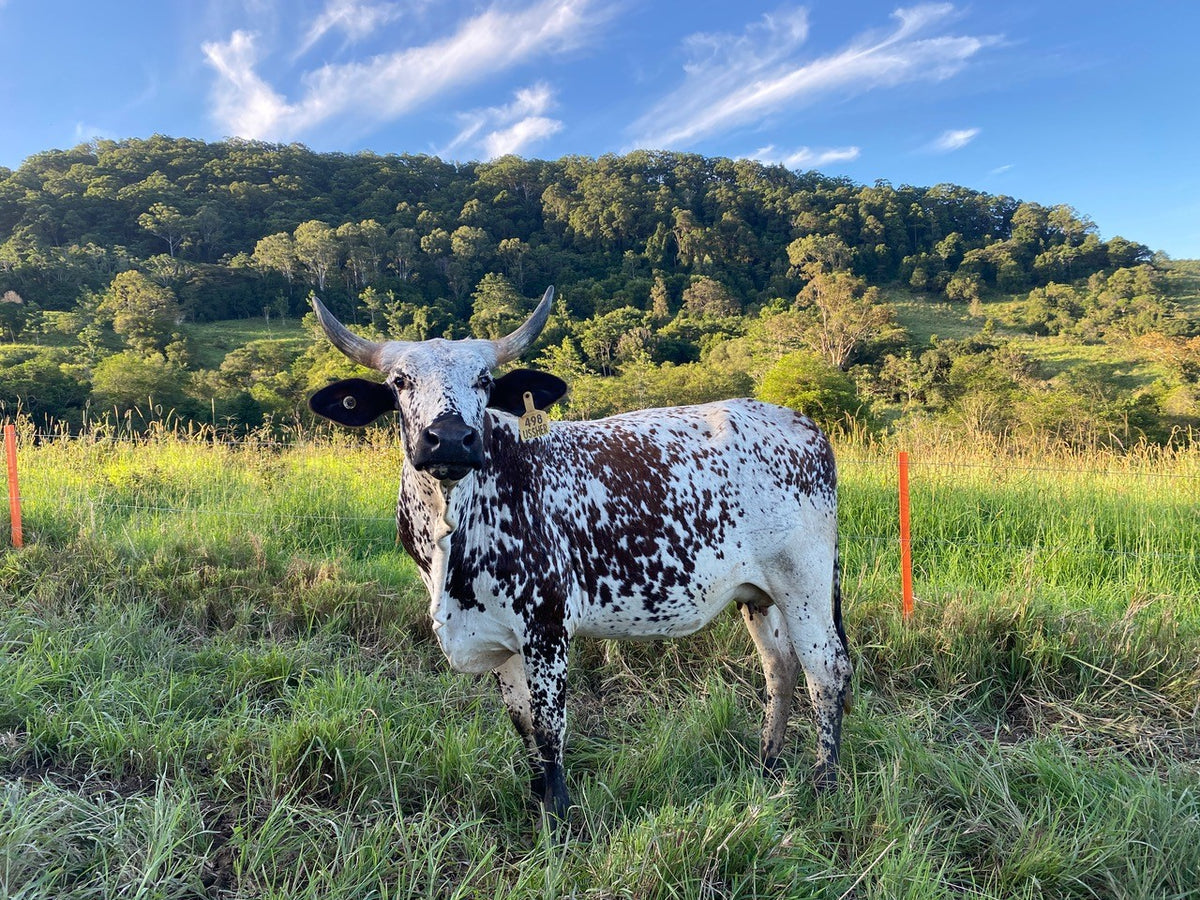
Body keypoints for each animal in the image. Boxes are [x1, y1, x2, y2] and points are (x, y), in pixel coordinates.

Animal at [307, 286, 851, 822]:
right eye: (400, 381)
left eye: (484, 381)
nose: (453, 440)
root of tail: (801, 422)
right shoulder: (501, 640)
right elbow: (523, 724)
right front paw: (536, 800)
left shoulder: (546, 629)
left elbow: (550, 730)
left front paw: (559, 817)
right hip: (757, 593)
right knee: (779, 668)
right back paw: (767, 764)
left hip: (804, 585)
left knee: (826, 671)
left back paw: (824, 784)